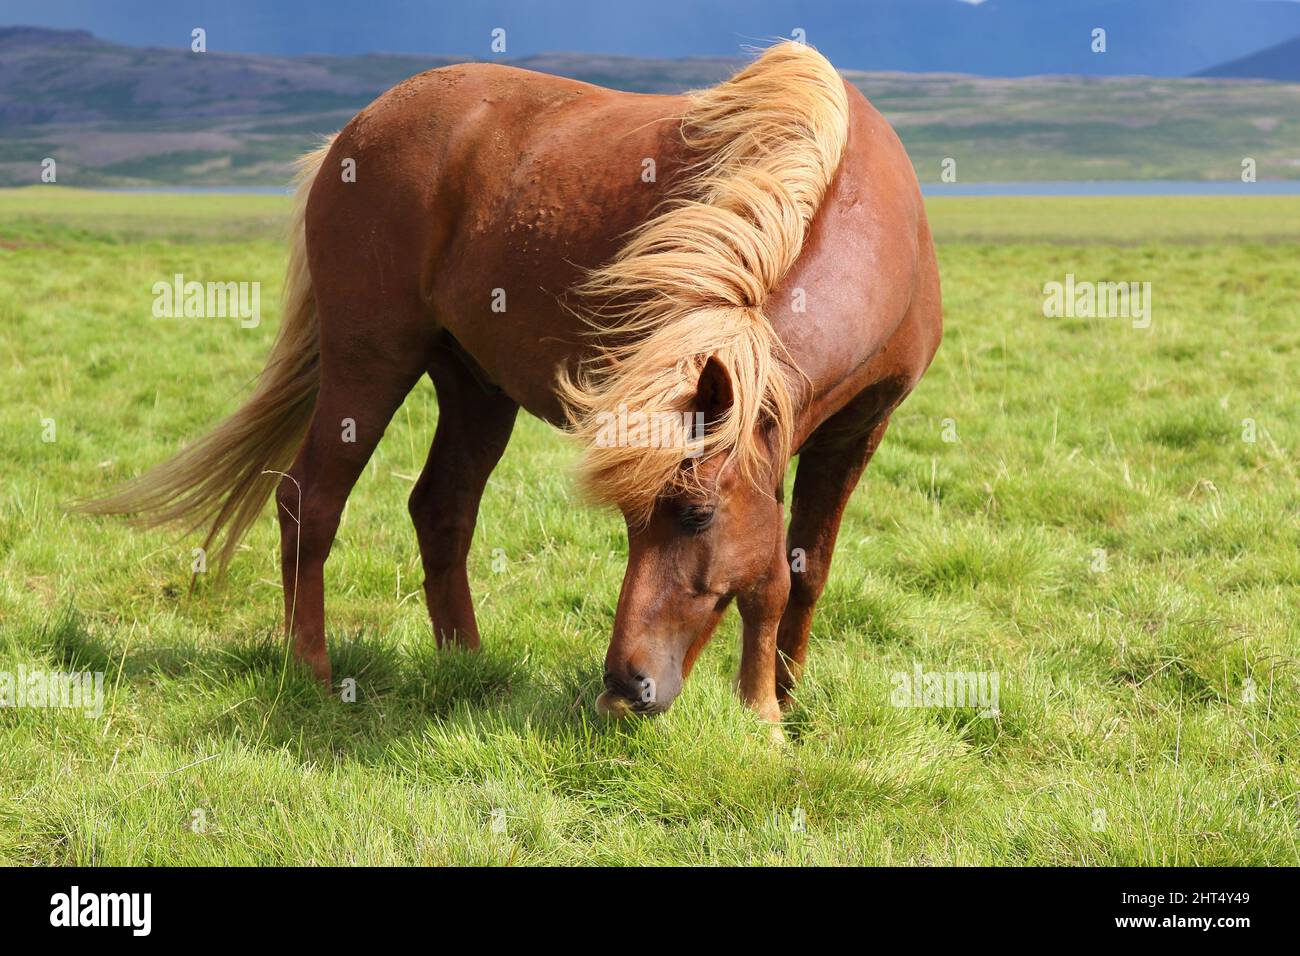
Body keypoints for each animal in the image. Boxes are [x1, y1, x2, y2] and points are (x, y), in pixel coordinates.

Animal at [79, 42, 941, 729]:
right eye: (629, 521)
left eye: (694, 517)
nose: (623, 688)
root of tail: (354, 131)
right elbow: (770, 572)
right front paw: (764, 718)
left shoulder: (854, 430)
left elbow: (798, 567)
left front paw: (780, 703)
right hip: (371, 361)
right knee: (310, 499)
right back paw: (314, 675)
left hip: (474, 385)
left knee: (441, 508)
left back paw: (465, 664)